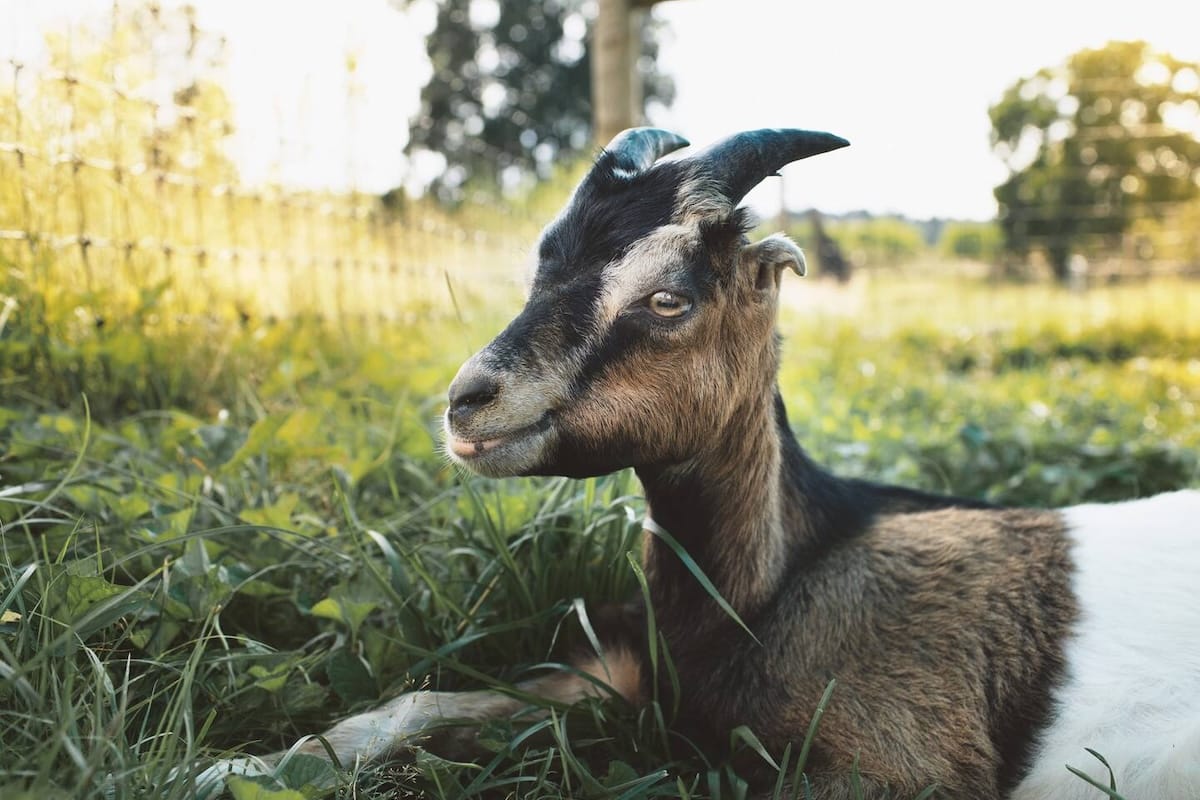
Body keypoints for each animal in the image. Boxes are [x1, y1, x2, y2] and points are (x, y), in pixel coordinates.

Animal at [199, 128, 1200, 799]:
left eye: (668, 297)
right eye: (541, 266)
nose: (469, 401)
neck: (767, 591)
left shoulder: (903, 761)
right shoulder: (630, 683)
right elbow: (416, 706)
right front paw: (239, 765)